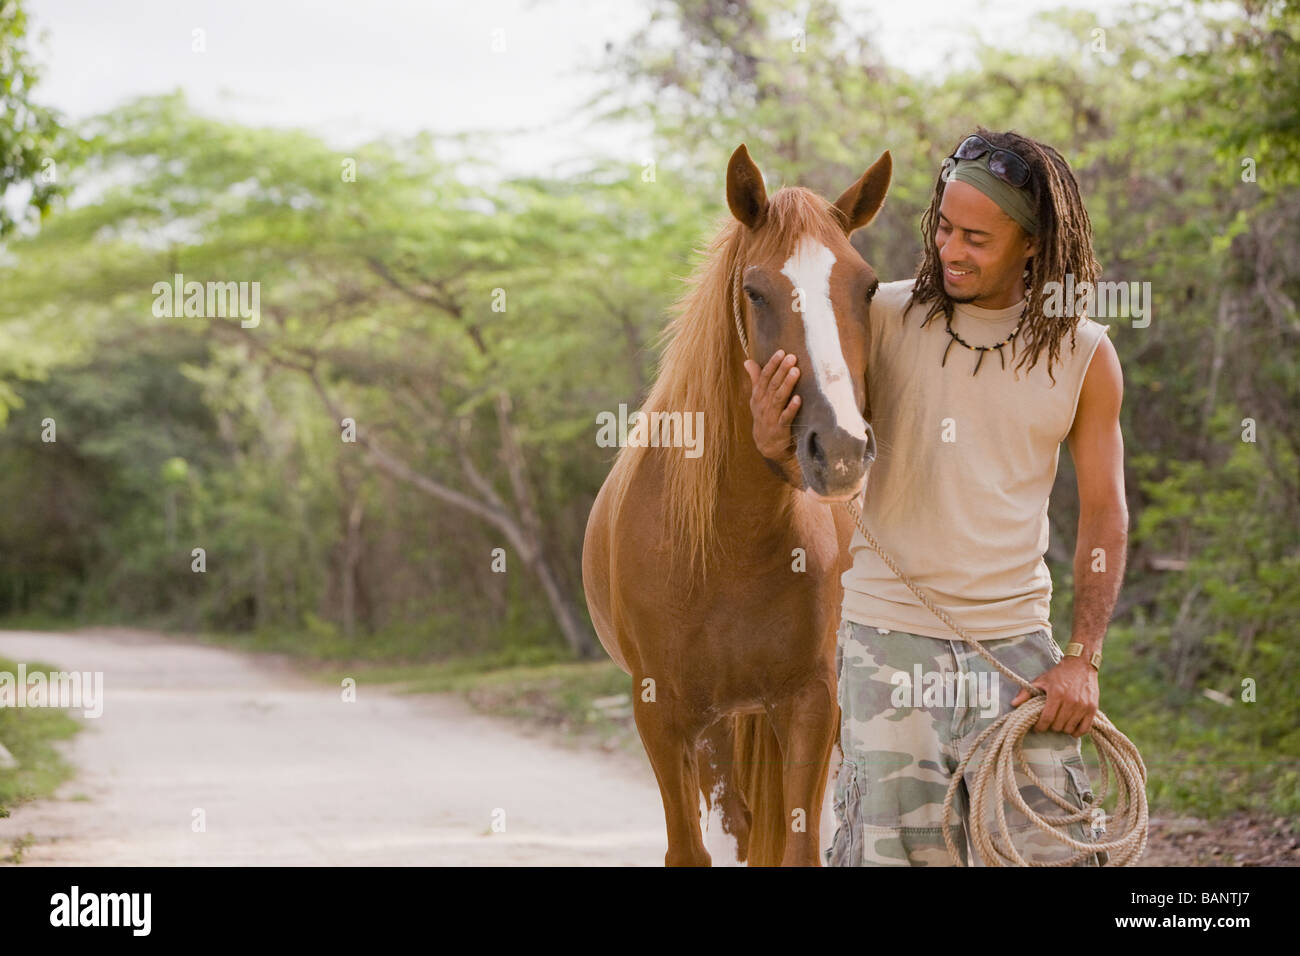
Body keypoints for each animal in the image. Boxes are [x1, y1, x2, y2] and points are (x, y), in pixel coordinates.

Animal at [582, 143, 891, 866]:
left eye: (866, 287)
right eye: (755, 291)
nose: (840, 447)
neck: (725, 541)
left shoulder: (810, 704)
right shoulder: (662, 718)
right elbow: (689, 851)